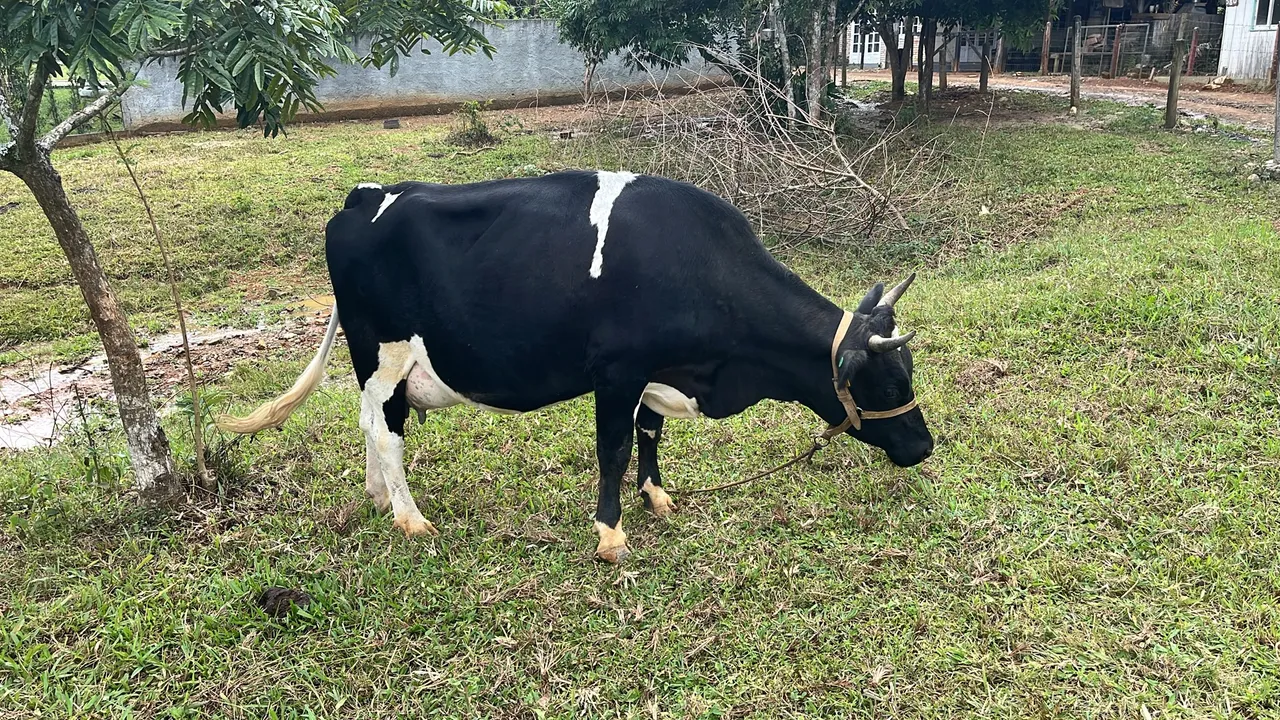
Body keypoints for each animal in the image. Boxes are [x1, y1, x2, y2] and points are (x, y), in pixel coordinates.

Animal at [217, 170, 933, 562]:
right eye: (889, 380)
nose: (924, 446)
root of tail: (366, 196)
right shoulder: (616, 369)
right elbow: (613, 447)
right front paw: (610, 535)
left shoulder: (652, 372)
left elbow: (649, 432)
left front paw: (657, 497)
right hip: (383, 351)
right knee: (384, 430)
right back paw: (410, 517)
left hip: (380, 363)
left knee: (373, 424)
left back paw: (377, 497)